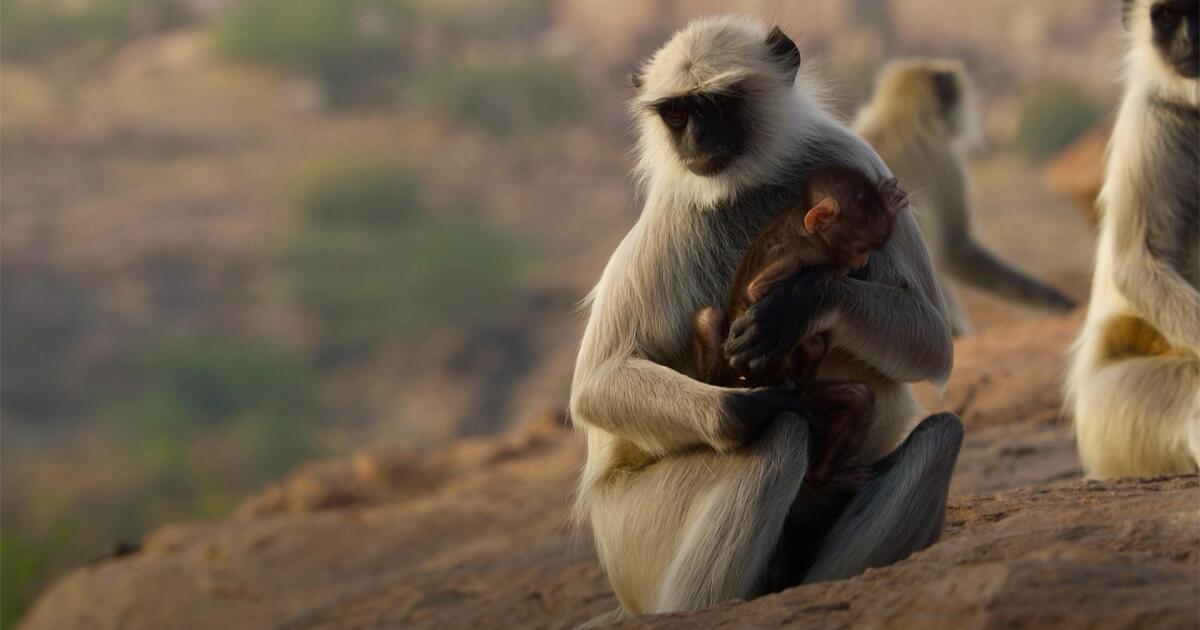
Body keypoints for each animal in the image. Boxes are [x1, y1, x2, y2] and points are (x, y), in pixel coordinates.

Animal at [570, 16, 963, 619]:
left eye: (716, 105)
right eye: (678, 114)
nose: (695, 141)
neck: (750, 181)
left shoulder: (856, 155)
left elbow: (933, 340)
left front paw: (800, 304)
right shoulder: (672, 214)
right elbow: (597, 384)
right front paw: (762, 399)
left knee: (942, 434)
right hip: (633, 526)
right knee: (780, 436)